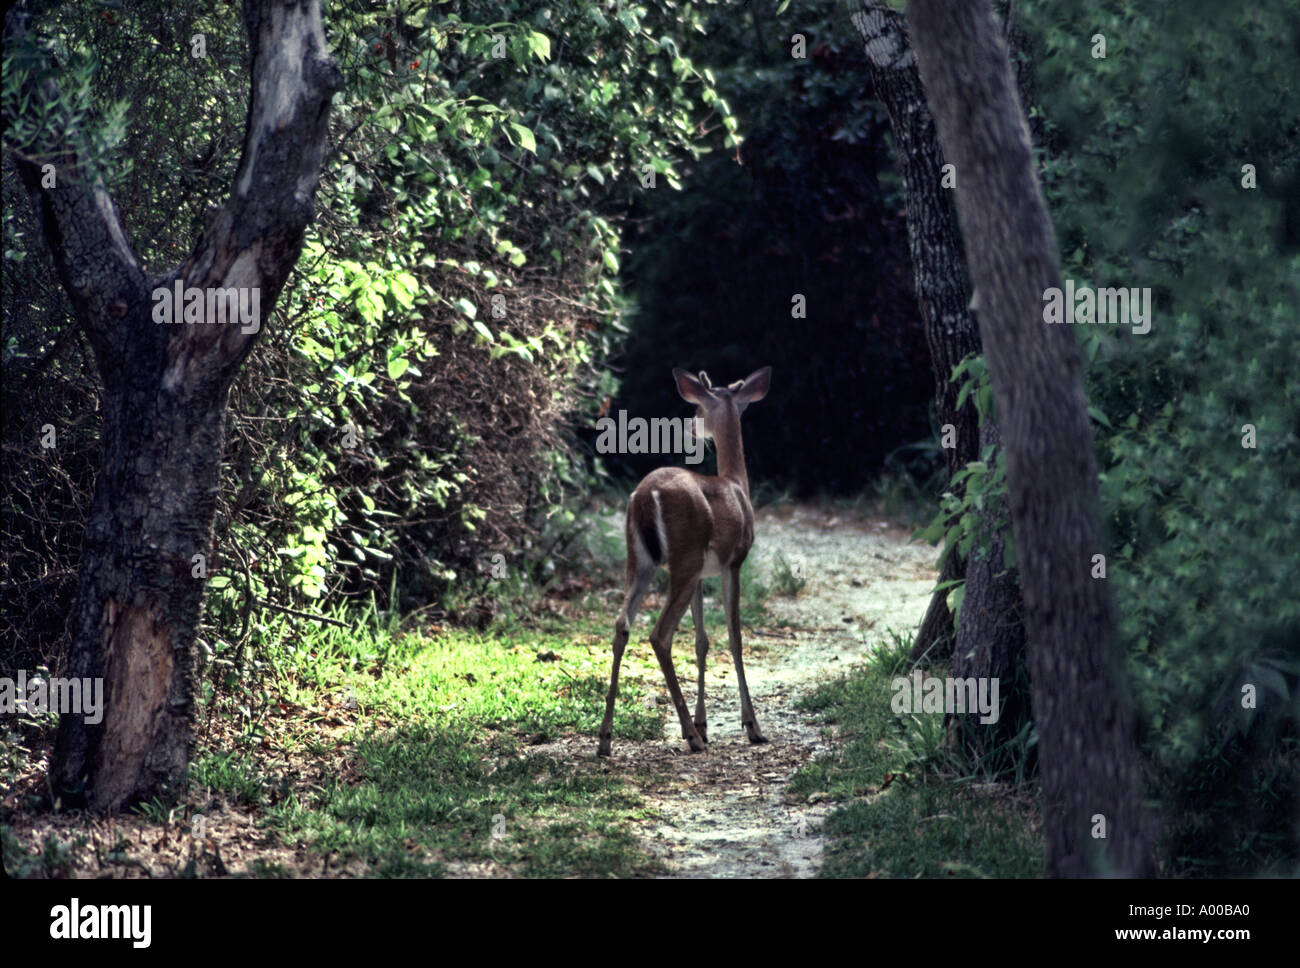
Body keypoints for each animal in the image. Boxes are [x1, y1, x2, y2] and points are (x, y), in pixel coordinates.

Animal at [597, 366, 772, 757]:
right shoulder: (733, 562)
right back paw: (689, 736)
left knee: (621, 624)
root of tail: (644, 497)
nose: (690, 427)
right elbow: (734, 637)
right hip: (684, 557)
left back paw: (605, 739)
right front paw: (751, 726)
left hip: (641, 559)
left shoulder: (703, 575)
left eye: (697, 409)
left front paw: (704, 724)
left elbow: (702, 640)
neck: (737, 484)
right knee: (659, 634)